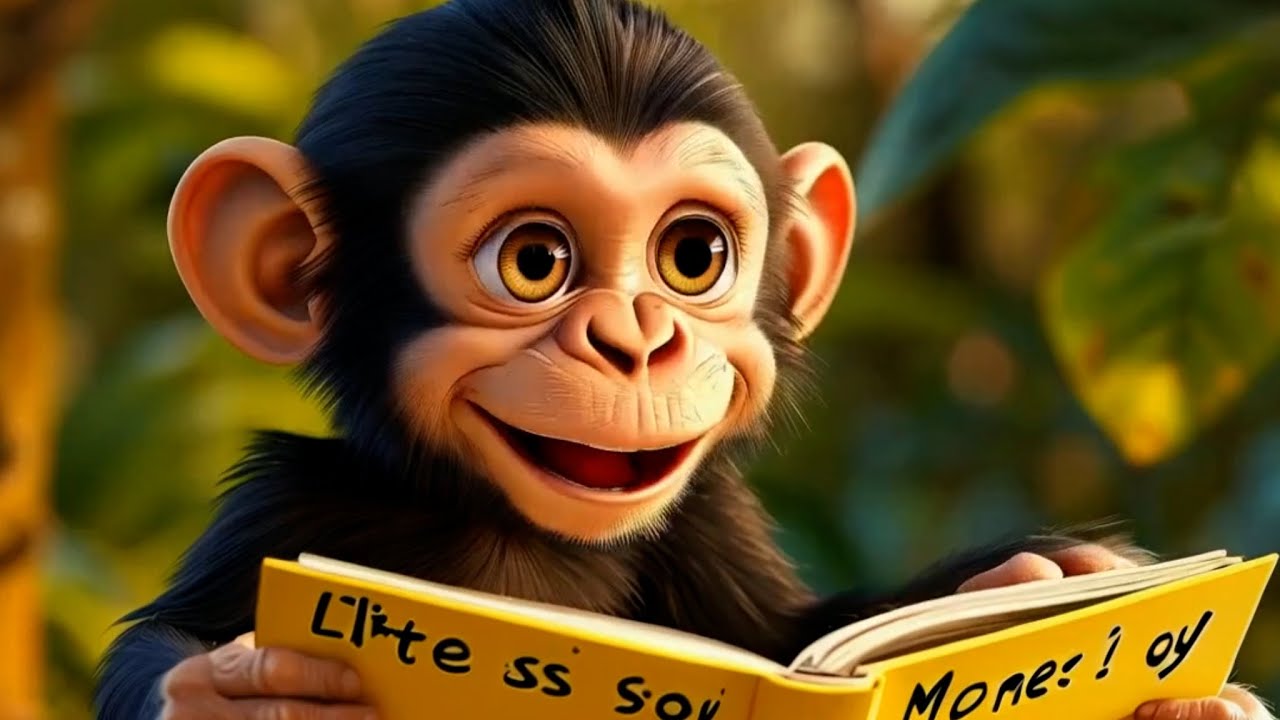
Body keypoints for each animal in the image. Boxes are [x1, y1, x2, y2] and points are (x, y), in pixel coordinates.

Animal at [90, 1, 1272, 719]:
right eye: (534, 261)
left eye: (692, 256)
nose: (637, 338)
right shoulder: (293, 503)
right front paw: (231, 689)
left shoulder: (710, 520)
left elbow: (792, 627)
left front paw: (1045, 589)